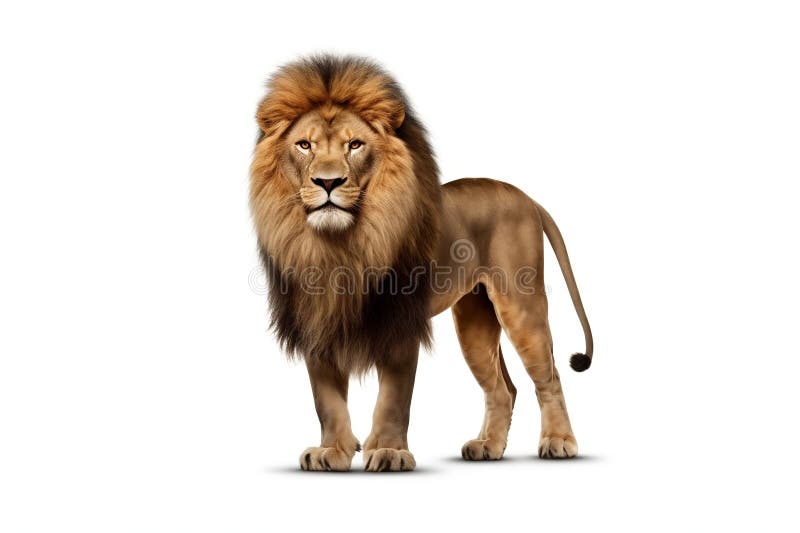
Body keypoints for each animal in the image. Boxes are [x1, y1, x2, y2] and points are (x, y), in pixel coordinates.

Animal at [250, 55, 594, 472]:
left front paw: (389, 452)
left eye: (355, 145)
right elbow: (327, 399)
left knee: (550, 376)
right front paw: (332, 451)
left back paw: (559, 442)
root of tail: (527, 198)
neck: (339, 246)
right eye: (304, 145)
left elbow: (393, 398)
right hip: (475, 320)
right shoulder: (317, 321)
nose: (327, 182)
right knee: (503, 388)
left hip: (521, 304)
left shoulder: (400, 322)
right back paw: (487, 446)